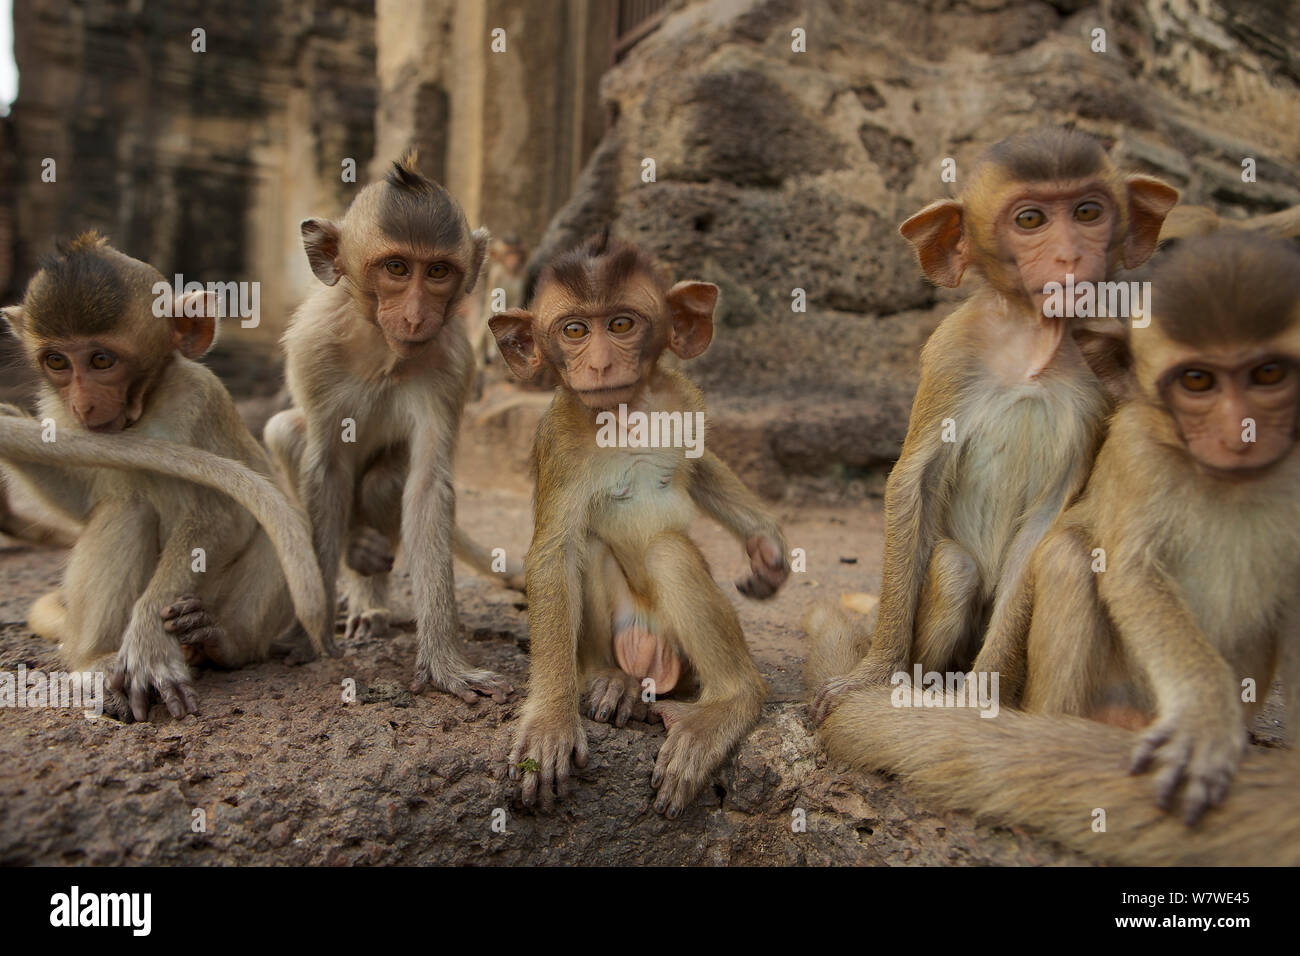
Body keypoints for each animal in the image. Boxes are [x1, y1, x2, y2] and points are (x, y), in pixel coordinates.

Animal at [0, 233, 332, 721]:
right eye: (57, 361)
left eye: (101, 359)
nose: (83, 403)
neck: (143, 412)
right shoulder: (57, 414)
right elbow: (82, 502)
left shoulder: (200, 400)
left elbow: (223, 516)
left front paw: (150, 643)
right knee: (126, 510)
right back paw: (95, 661)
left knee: (279, 529)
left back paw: (219, 641)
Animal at [264, 152, 515, 702]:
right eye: (397, 268)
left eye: (438, 271)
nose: (418, 316)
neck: (382, 348)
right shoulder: (313, 347)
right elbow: (326, 468)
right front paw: (306, 635)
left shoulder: (452, 362)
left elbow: (425, 486)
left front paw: (444, 661)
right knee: (285, 432)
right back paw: (357, 562)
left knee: (384, 482)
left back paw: (370, 587)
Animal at [488, 234, 789, 817]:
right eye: (575, 331)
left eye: (621, 324)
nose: (601, 364)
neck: (625, 415)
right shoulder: (559, 439)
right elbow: (555, 553)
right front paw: (552, 719)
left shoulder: (683, 398)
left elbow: (699, 464)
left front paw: (766, 544)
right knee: (591, 549)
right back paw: (610, 680)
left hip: (682, 657)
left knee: (668, 553)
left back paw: (729, 703)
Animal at [808, 128, 1178, 722]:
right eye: (1030, 220)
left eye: (1088, 211)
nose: (1070, 254)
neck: (1030, 343)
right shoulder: (949, 357)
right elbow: (914, 482)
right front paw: (872, 676)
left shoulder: (1101, 386)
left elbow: (1048, 521)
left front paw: (985, 698)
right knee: (954, 569)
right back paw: (927, 678)